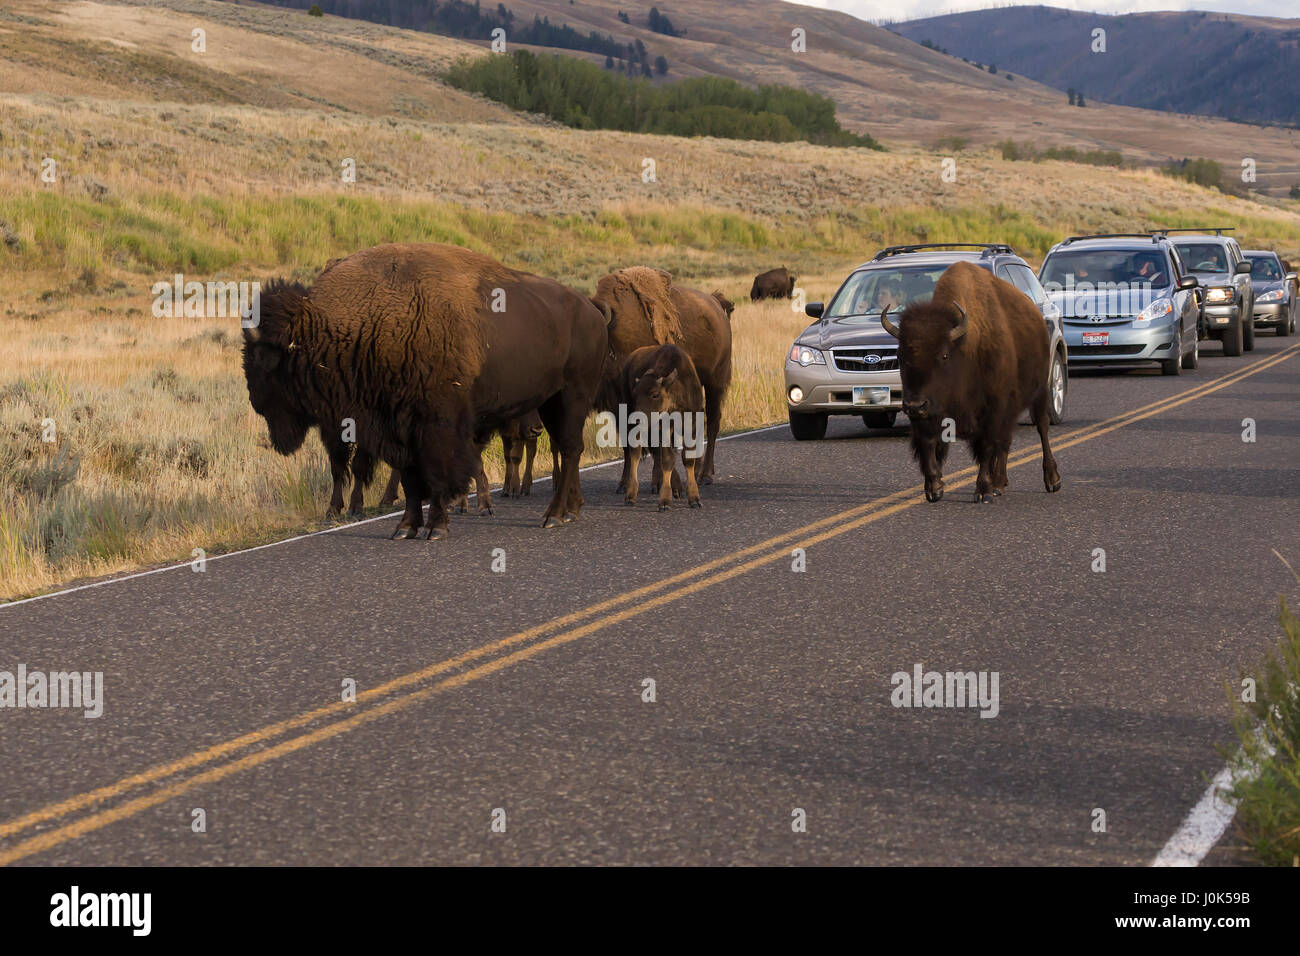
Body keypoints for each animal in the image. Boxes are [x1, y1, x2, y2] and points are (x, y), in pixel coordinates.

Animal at [243, 242, 610, 540]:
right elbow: (410, 479)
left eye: (263, 356)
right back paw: (569, 511)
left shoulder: (435, 427)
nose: (255, 402)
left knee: (569, 449)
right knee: (569, 450)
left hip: (571, 397)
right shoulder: (396, 428)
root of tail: (591, 309)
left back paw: (553, 516)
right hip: (551, 403)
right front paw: (405, 528)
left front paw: (436, 528)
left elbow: (435, 476)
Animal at [592, 267, 732, 489]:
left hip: (716, 382)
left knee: (713, 422)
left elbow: (655, 440)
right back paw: (697, 469)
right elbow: (627, 441)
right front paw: (624, 483)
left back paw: (705, 475)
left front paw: (658, 482)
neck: (614, 336)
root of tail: (716, 303)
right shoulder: (622, 403)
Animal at [880, 261, 1061, 504]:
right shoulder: (927, 412)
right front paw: (934, 489)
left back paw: (1051, 480)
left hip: (1040, 391)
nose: (915, 405)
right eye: (900, 356)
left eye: (944, 355)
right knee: (1006, 438)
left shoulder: (992, 408)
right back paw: (999, 483)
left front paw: (982, 491)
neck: (965, 349)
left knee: (1041, 427)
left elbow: (986, 445)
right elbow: (928, 444)